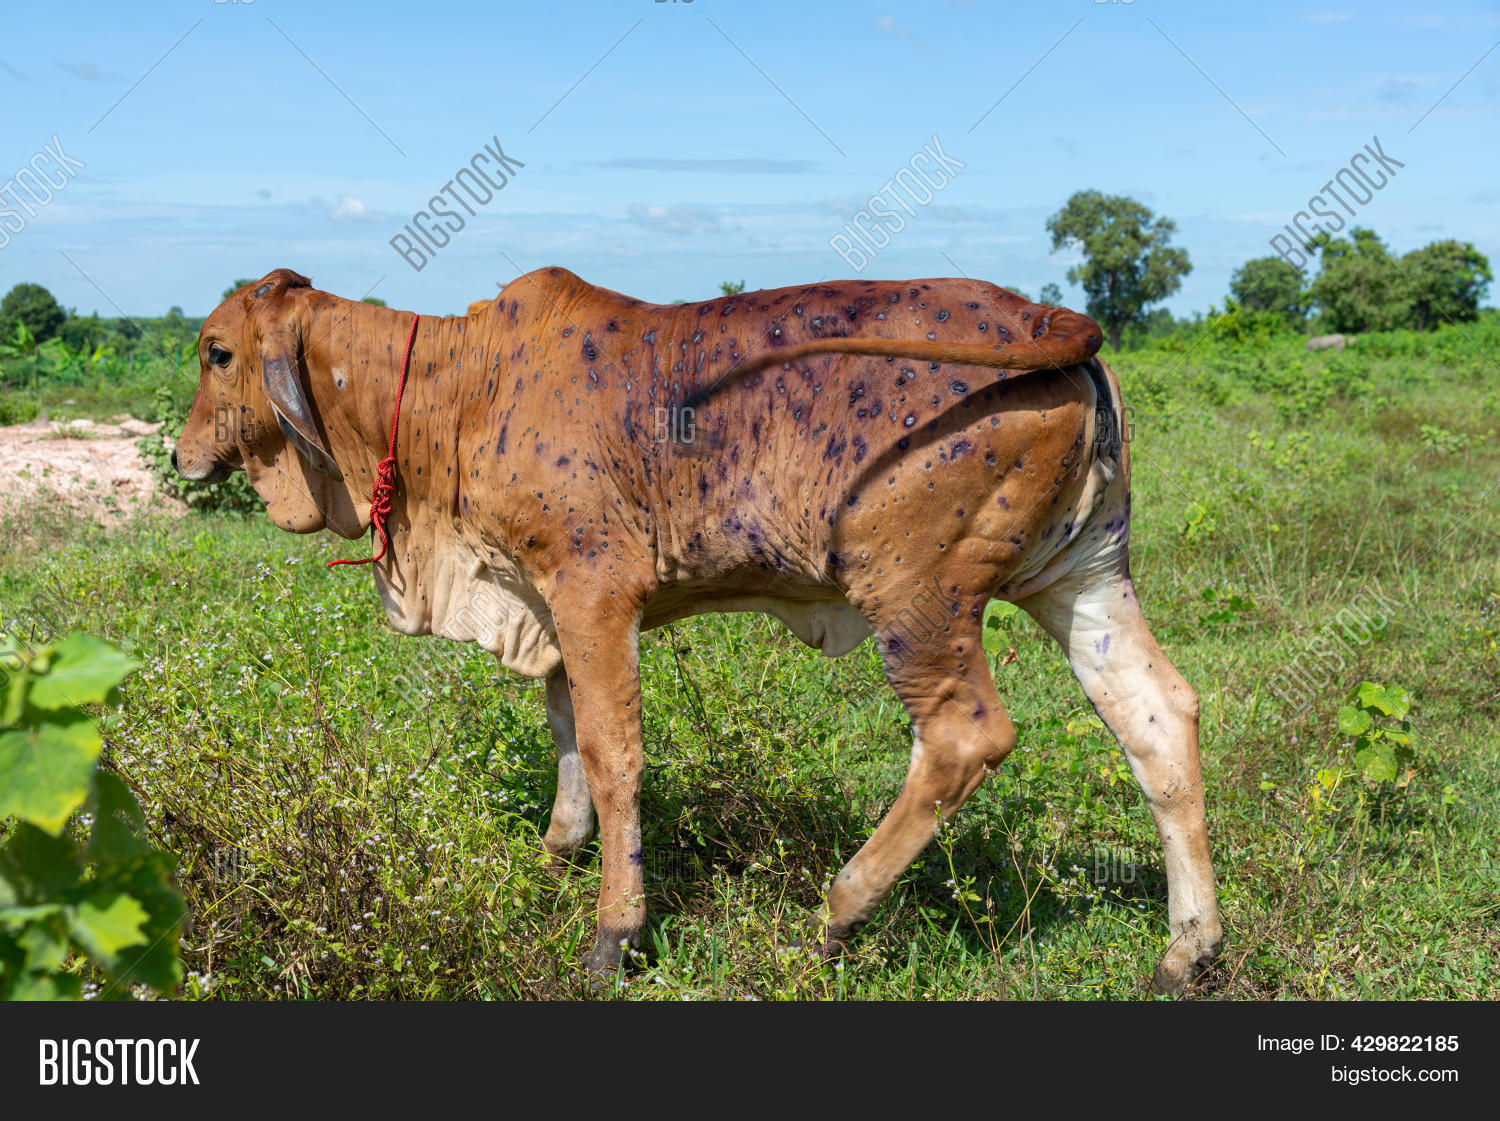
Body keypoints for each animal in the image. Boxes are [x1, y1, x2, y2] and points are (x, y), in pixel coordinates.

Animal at [172, 267, 1222, 994]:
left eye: (217, 352)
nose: (181, 455)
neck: (460, 386)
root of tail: (1049, 318)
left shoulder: (593, 588)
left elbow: (612, 754)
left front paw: (614, 933)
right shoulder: (546, 605)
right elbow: (565, 735)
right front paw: (555, 855)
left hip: (916, 593)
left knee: (967, 737)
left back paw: (838, 912)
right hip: (1081, 574)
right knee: (1158, 717)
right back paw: (1188, 952)